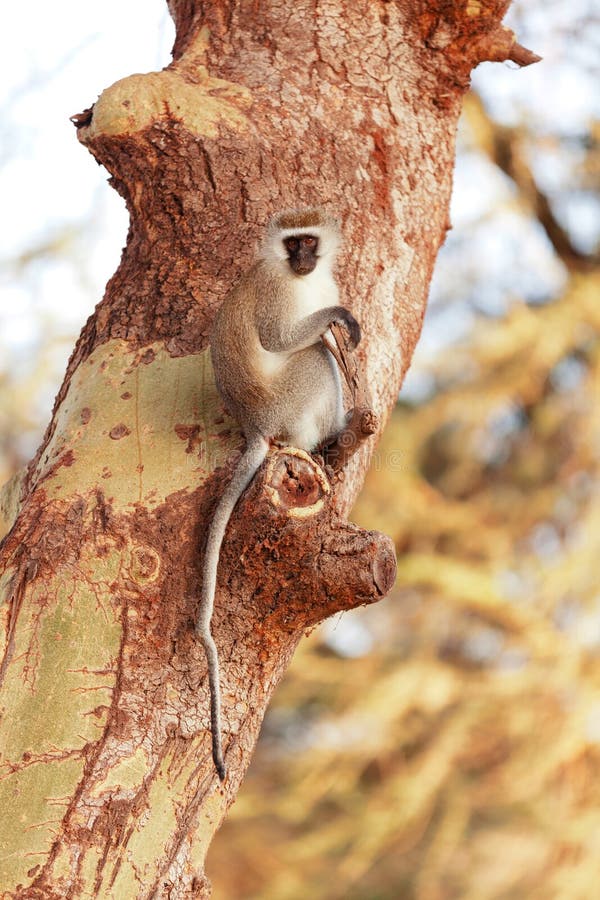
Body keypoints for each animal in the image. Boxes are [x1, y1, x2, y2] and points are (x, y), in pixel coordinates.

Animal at [196, 208, 361, 780]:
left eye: (309, 241)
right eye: (293, 244)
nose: (303, 259)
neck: (301, 280)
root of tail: (257, 426)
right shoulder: (275, 290)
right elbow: (279, 335)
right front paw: (341, 318)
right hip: (287, 402)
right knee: (312, 355)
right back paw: (327, 436)